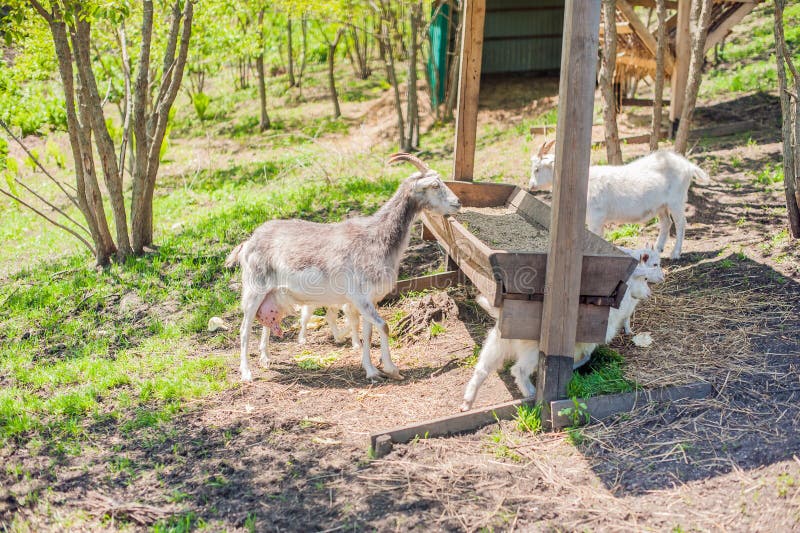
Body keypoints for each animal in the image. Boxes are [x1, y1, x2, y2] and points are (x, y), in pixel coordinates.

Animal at [226, 153, 461, 382]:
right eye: (435, 185)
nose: (457, 203)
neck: (376, 237)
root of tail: (248, 243)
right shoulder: (359, 296)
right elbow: (383, 326)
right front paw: (391, 369)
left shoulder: (370, 299)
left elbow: (368, 332)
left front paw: (371, 370)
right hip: (254, 289)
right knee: (244, 328)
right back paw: (246, 373)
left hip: (273, 295)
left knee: (266, 322)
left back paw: (266, 358)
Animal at [460, 249, 664, 411]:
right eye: (645, 278)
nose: (649, 294)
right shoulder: (585, 341)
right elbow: (583, 356)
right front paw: (570, 371)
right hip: (532, 351)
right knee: (519, 370)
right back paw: (531, 393)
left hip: (497, 343)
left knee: (481, 370)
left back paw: (466, 403)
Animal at [529, 143, 710, 259]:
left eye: (537, 169)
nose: (530, 185)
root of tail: (688, 166)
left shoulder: (595, 217)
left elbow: (595, 236)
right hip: (661, 205)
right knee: (666, 222)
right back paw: (658, 248)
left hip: (676, 200)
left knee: (680, 223)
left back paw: (675, 254)